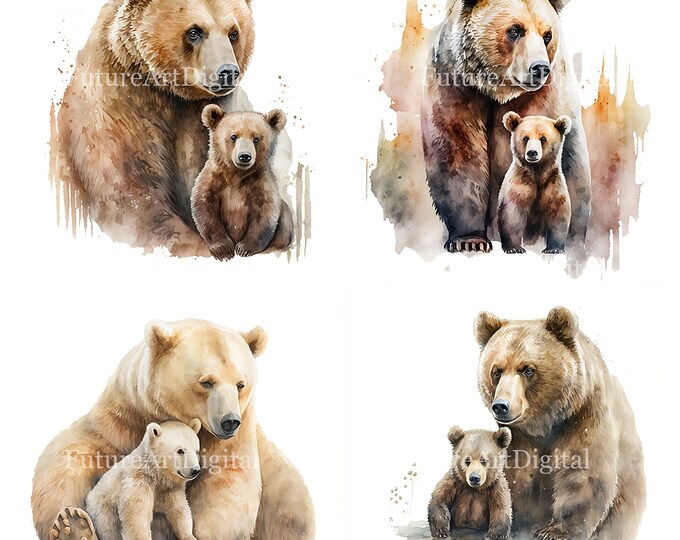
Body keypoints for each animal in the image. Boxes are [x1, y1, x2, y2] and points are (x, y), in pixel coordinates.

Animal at [32, 319, 315, 540]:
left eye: (240, 384)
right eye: (206, 382)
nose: (230, 421)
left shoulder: (235, 438)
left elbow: (227, 483)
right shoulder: (121, 419)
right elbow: (71, 458)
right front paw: (68, 522)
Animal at [191, 105, 294, 261]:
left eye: (256, 139)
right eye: (234, 136)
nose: (244, 156)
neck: (237, 174)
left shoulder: (261, 184)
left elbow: (265, 213)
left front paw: (244, 248)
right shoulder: (212, 180)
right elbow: (204, 207)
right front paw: (223, 249)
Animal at [474, 307, 645, 539]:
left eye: (528, 369)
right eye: (497, 371)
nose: (501, 406)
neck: (543, 424)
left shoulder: (584, 416)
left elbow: (583, 471)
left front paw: (555, 530)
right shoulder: (517, 436)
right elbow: (514, 474)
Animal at [498, 112, 572, 254]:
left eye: (543, 138)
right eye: (525, 138)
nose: (532, 152)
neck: (537, 171)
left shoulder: (553, 184)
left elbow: (557, 214)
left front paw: (554, 248)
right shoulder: (520, 183)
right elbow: (512, 213)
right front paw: (514, 248)